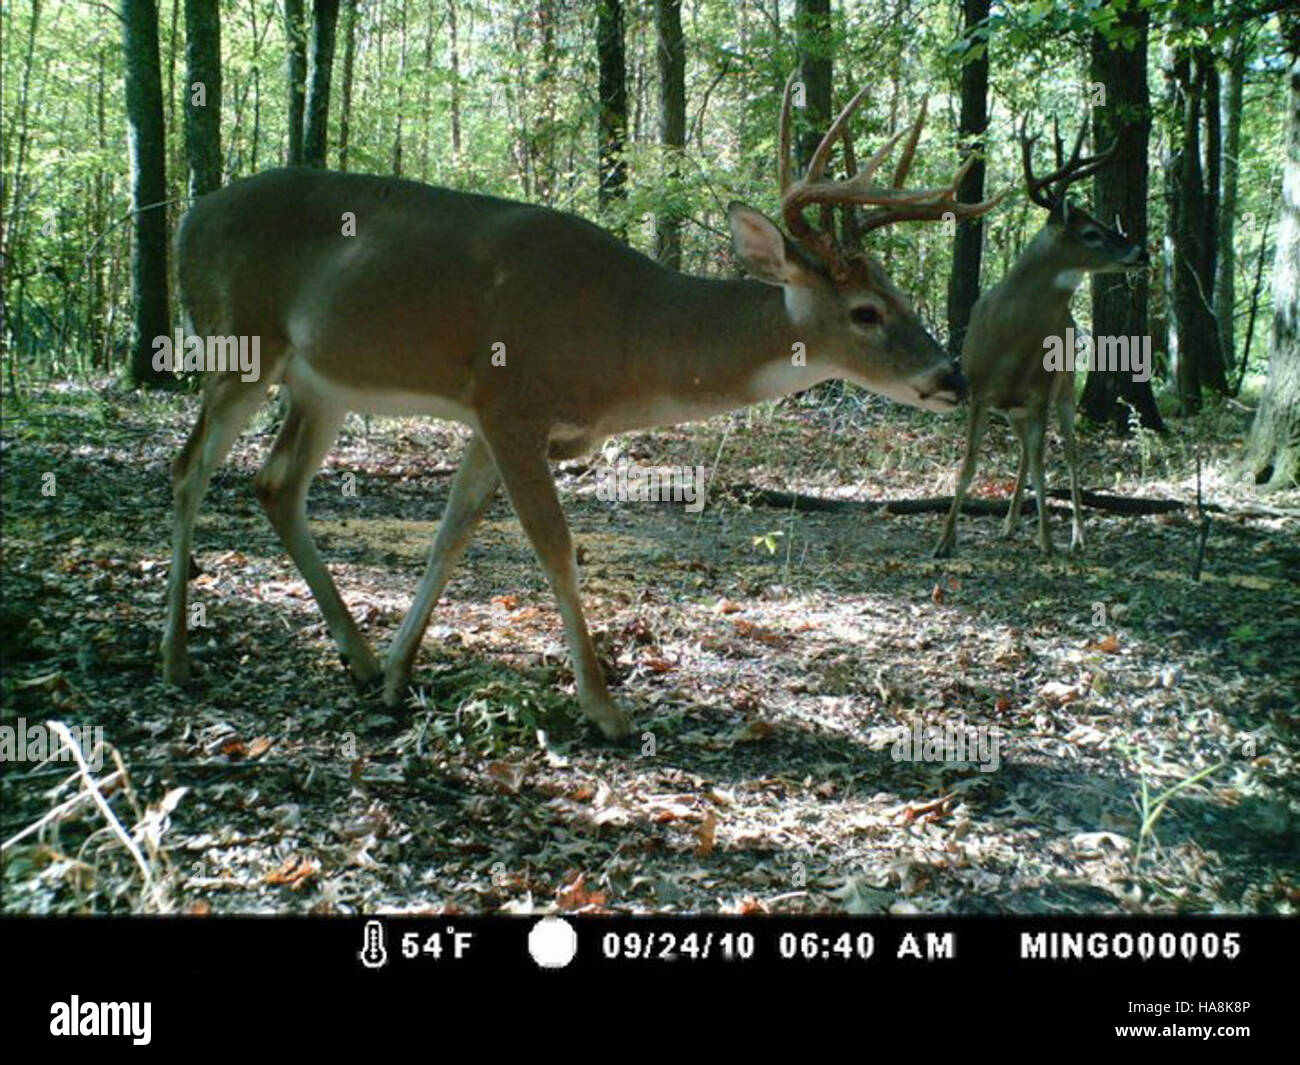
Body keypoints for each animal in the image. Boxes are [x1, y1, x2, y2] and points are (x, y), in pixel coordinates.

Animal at [160, 74, 1002, 740]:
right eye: (865, 311)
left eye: (898, 292)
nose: (952, 376)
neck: (626, 341)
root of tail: (186, 218)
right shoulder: (508, 402)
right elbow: (555, 548)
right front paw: (604, 707)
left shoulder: (491, 421)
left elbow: (448, 538)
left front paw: (399, 673)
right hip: (237, 342)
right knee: (188, 467)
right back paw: (176, 655)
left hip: (322, 384)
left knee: (275, 483)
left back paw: (357, 658)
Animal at [932, 118, 1148, 559]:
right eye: (1091, 232)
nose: (1141, 251)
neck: (1011, 341)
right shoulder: (979, 393)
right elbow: (969, 466)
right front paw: (944, 541)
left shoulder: (1040, 394)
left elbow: (1043, 467)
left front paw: (1048, 541)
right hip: (1013, 410)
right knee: (1023, 454)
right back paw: (1010, 525)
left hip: (1062, 391)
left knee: (1067, 454)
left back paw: (1076, 536)